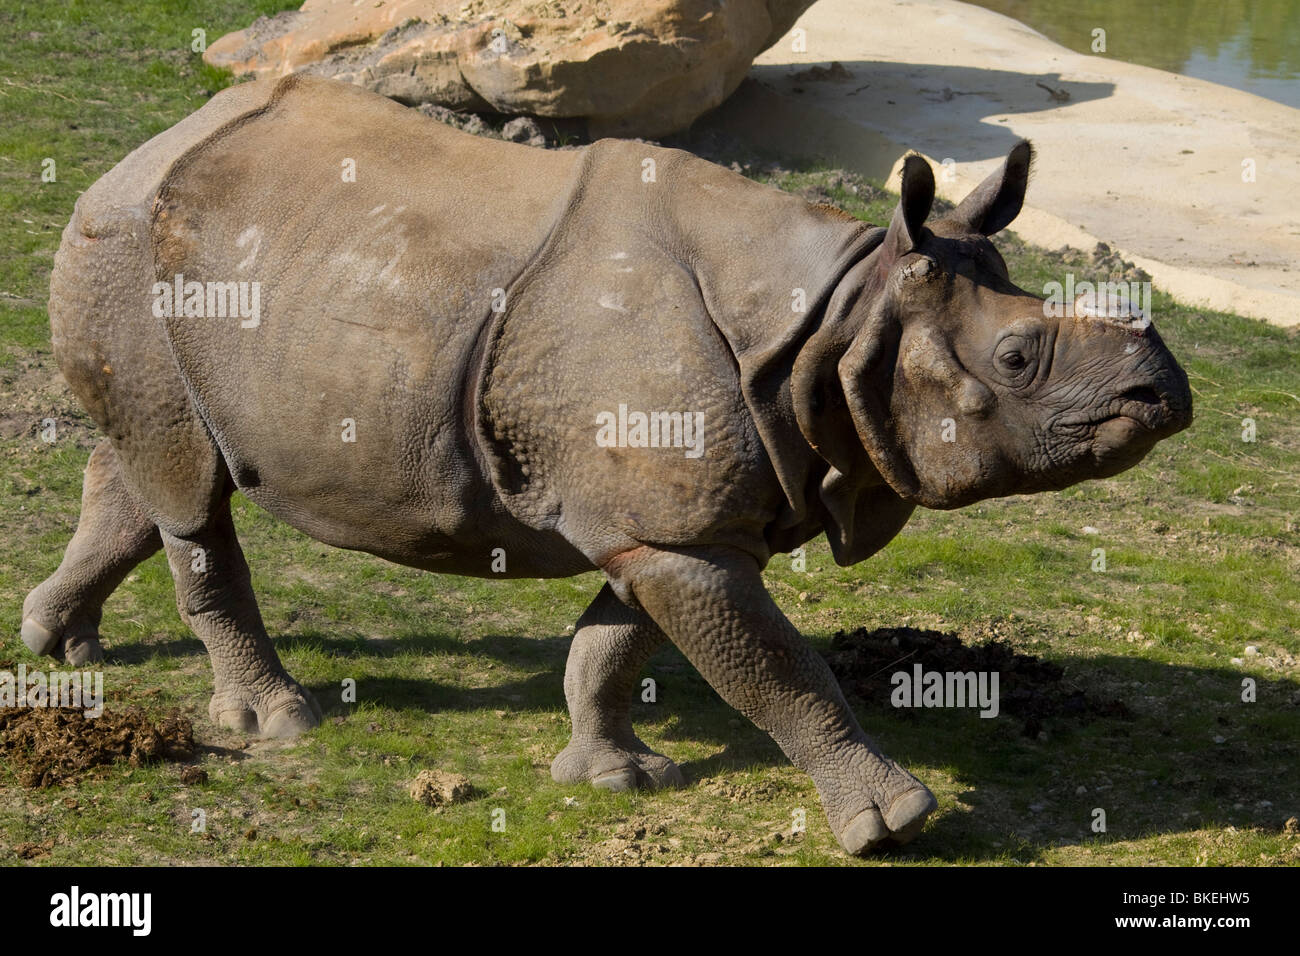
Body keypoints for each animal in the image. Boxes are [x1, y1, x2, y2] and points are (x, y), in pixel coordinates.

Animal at [24, 75, 1191, 855]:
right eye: (1018, 358)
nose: (1164, 394)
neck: (843, 315)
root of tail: (145, 147)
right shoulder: (678, 532)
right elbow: (781, 667)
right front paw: (895, 820)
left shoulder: (674, 526)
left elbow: (617, 645)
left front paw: (617, 777)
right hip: (129, 245)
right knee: (189, 489)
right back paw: (278, 722)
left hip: (188, 265)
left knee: (155, 462)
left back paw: (62, 643)